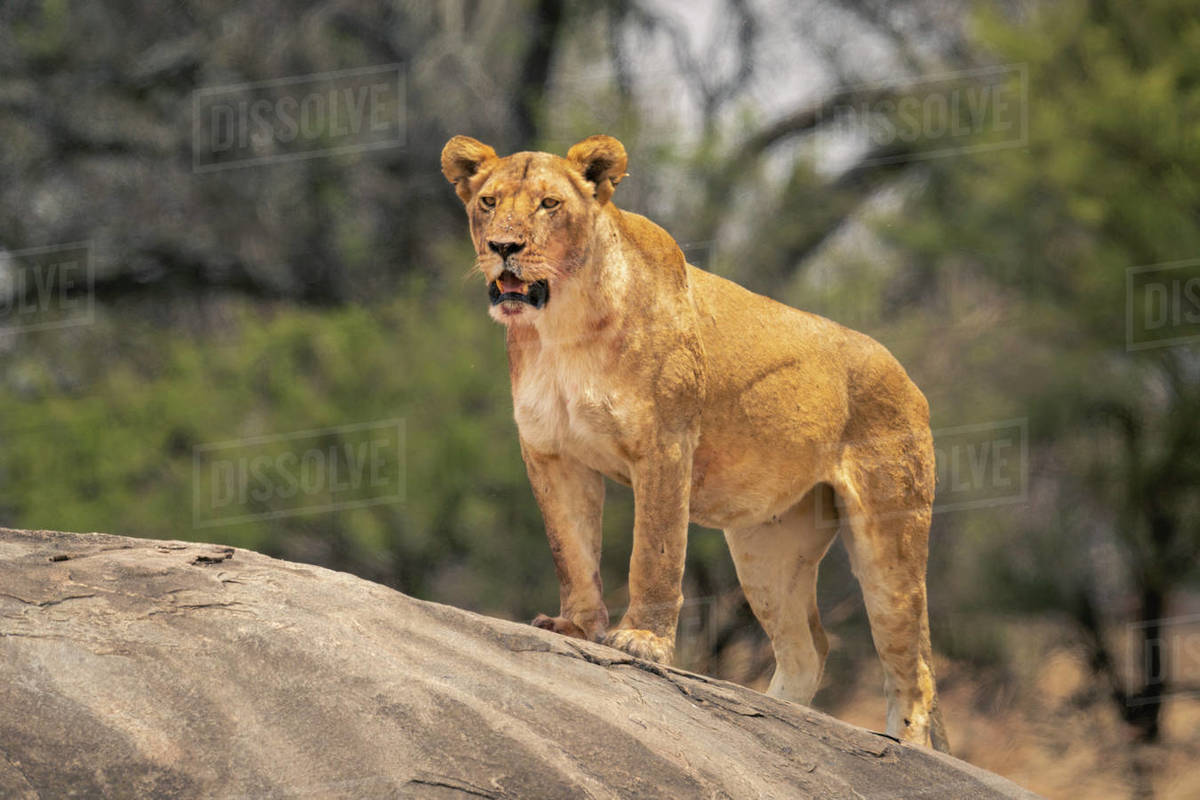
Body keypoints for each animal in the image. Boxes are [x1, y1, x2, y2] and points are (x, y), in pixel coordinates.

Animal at [441, 133, 949, 751]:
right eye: (488, 202)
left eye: (548, 204)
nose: (504, 246)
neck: (562, 325)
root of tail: (910, 379)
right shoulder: (551, 453)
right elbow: (572, 550)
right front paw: (577, 628)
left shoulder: (665, 444)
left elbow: (654, 551)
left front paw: (641, 641)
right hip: (768, 547)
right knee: (809, 647)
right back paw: (771, 716)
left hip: (888, 534)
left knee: (913, 659)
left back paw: (907, 745)